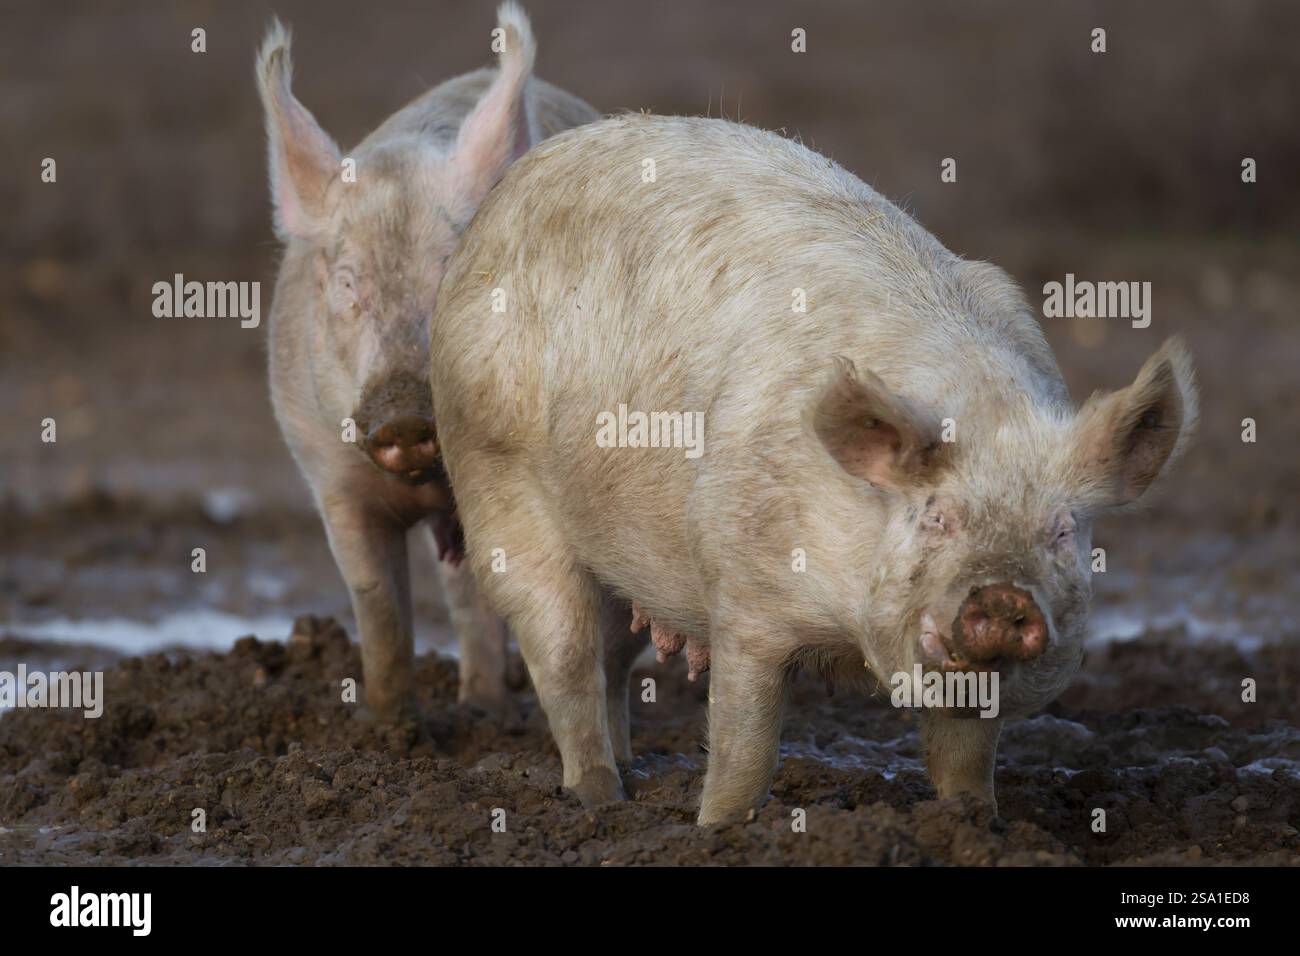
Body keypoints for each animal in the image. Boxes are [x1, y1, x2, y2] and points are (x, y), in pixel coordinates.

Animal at [257, 3, 597, 721]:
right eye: (347, 285)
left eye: (454, 270)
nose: (405, 408)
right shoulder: (330, 477)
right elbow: (379, 608)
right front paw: (388, 723)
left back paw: (487, 709)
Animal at [428, 114, 1197, 823]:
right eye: (937, 517)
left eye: (1061, 531)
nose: (1005, 597)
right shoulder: (744, 591)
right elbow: (744, 743)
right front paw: (717, 828)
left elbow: (965, 755)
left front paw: (974, 823)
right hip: (492, 472)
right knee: (562, 654)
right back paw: (599, 801)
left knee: (614, 657)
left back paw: (630, 777)